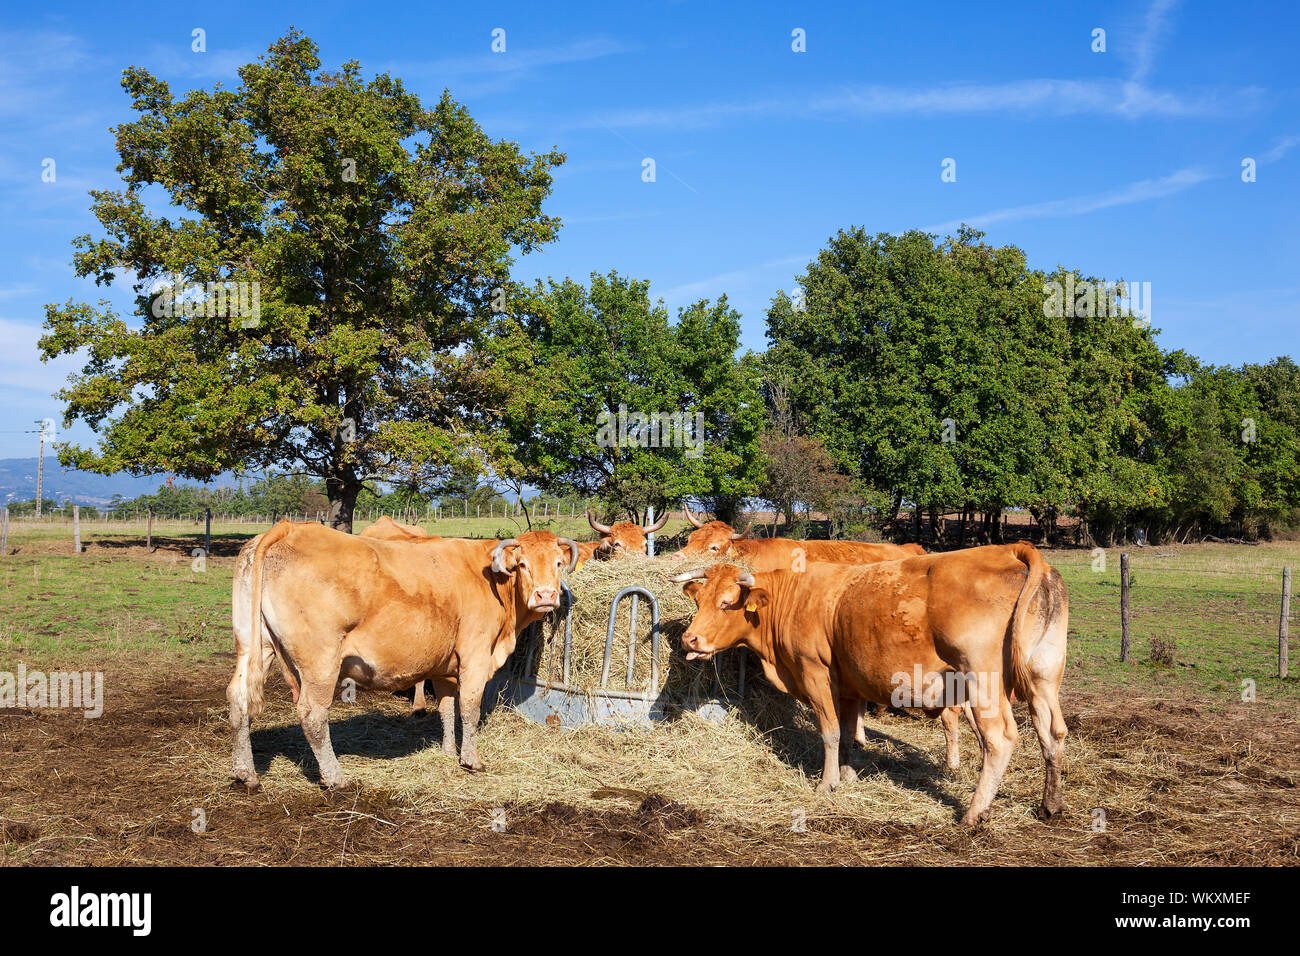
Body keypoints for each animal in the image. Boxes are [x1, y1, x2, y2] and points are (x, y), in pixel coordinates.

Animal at [226, 521, 579, 790]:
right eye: (523, 565)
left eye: (558, 564)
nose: (546, 595)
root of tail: (289, 528)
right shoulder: (476, 654)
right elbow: (469, 709)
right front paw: (471, 760)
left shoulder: (445, 665)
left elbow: (447, 709)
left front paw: (448, 751)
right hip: (320, 660)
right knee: (312, 714)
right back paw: (336, 778)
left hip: (253, 645)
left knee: (239, 698)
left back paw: (246, 775)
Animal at [668, 542, 1068, 825]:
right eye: (700, 600)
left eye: (726, 603)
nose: (690, 640)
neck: (795, 597)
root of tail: (1011, 549)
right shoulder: (847, 683)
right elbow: (847, 733)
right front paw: (847, 776)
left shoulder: (814, 672)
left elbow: (829, 732)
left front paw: (826, 784)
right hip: (1043, 676)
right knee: (1052, 731)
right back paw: (1050, 805)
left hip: (982, 680)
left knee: (999, 740)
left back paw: (974, 813)